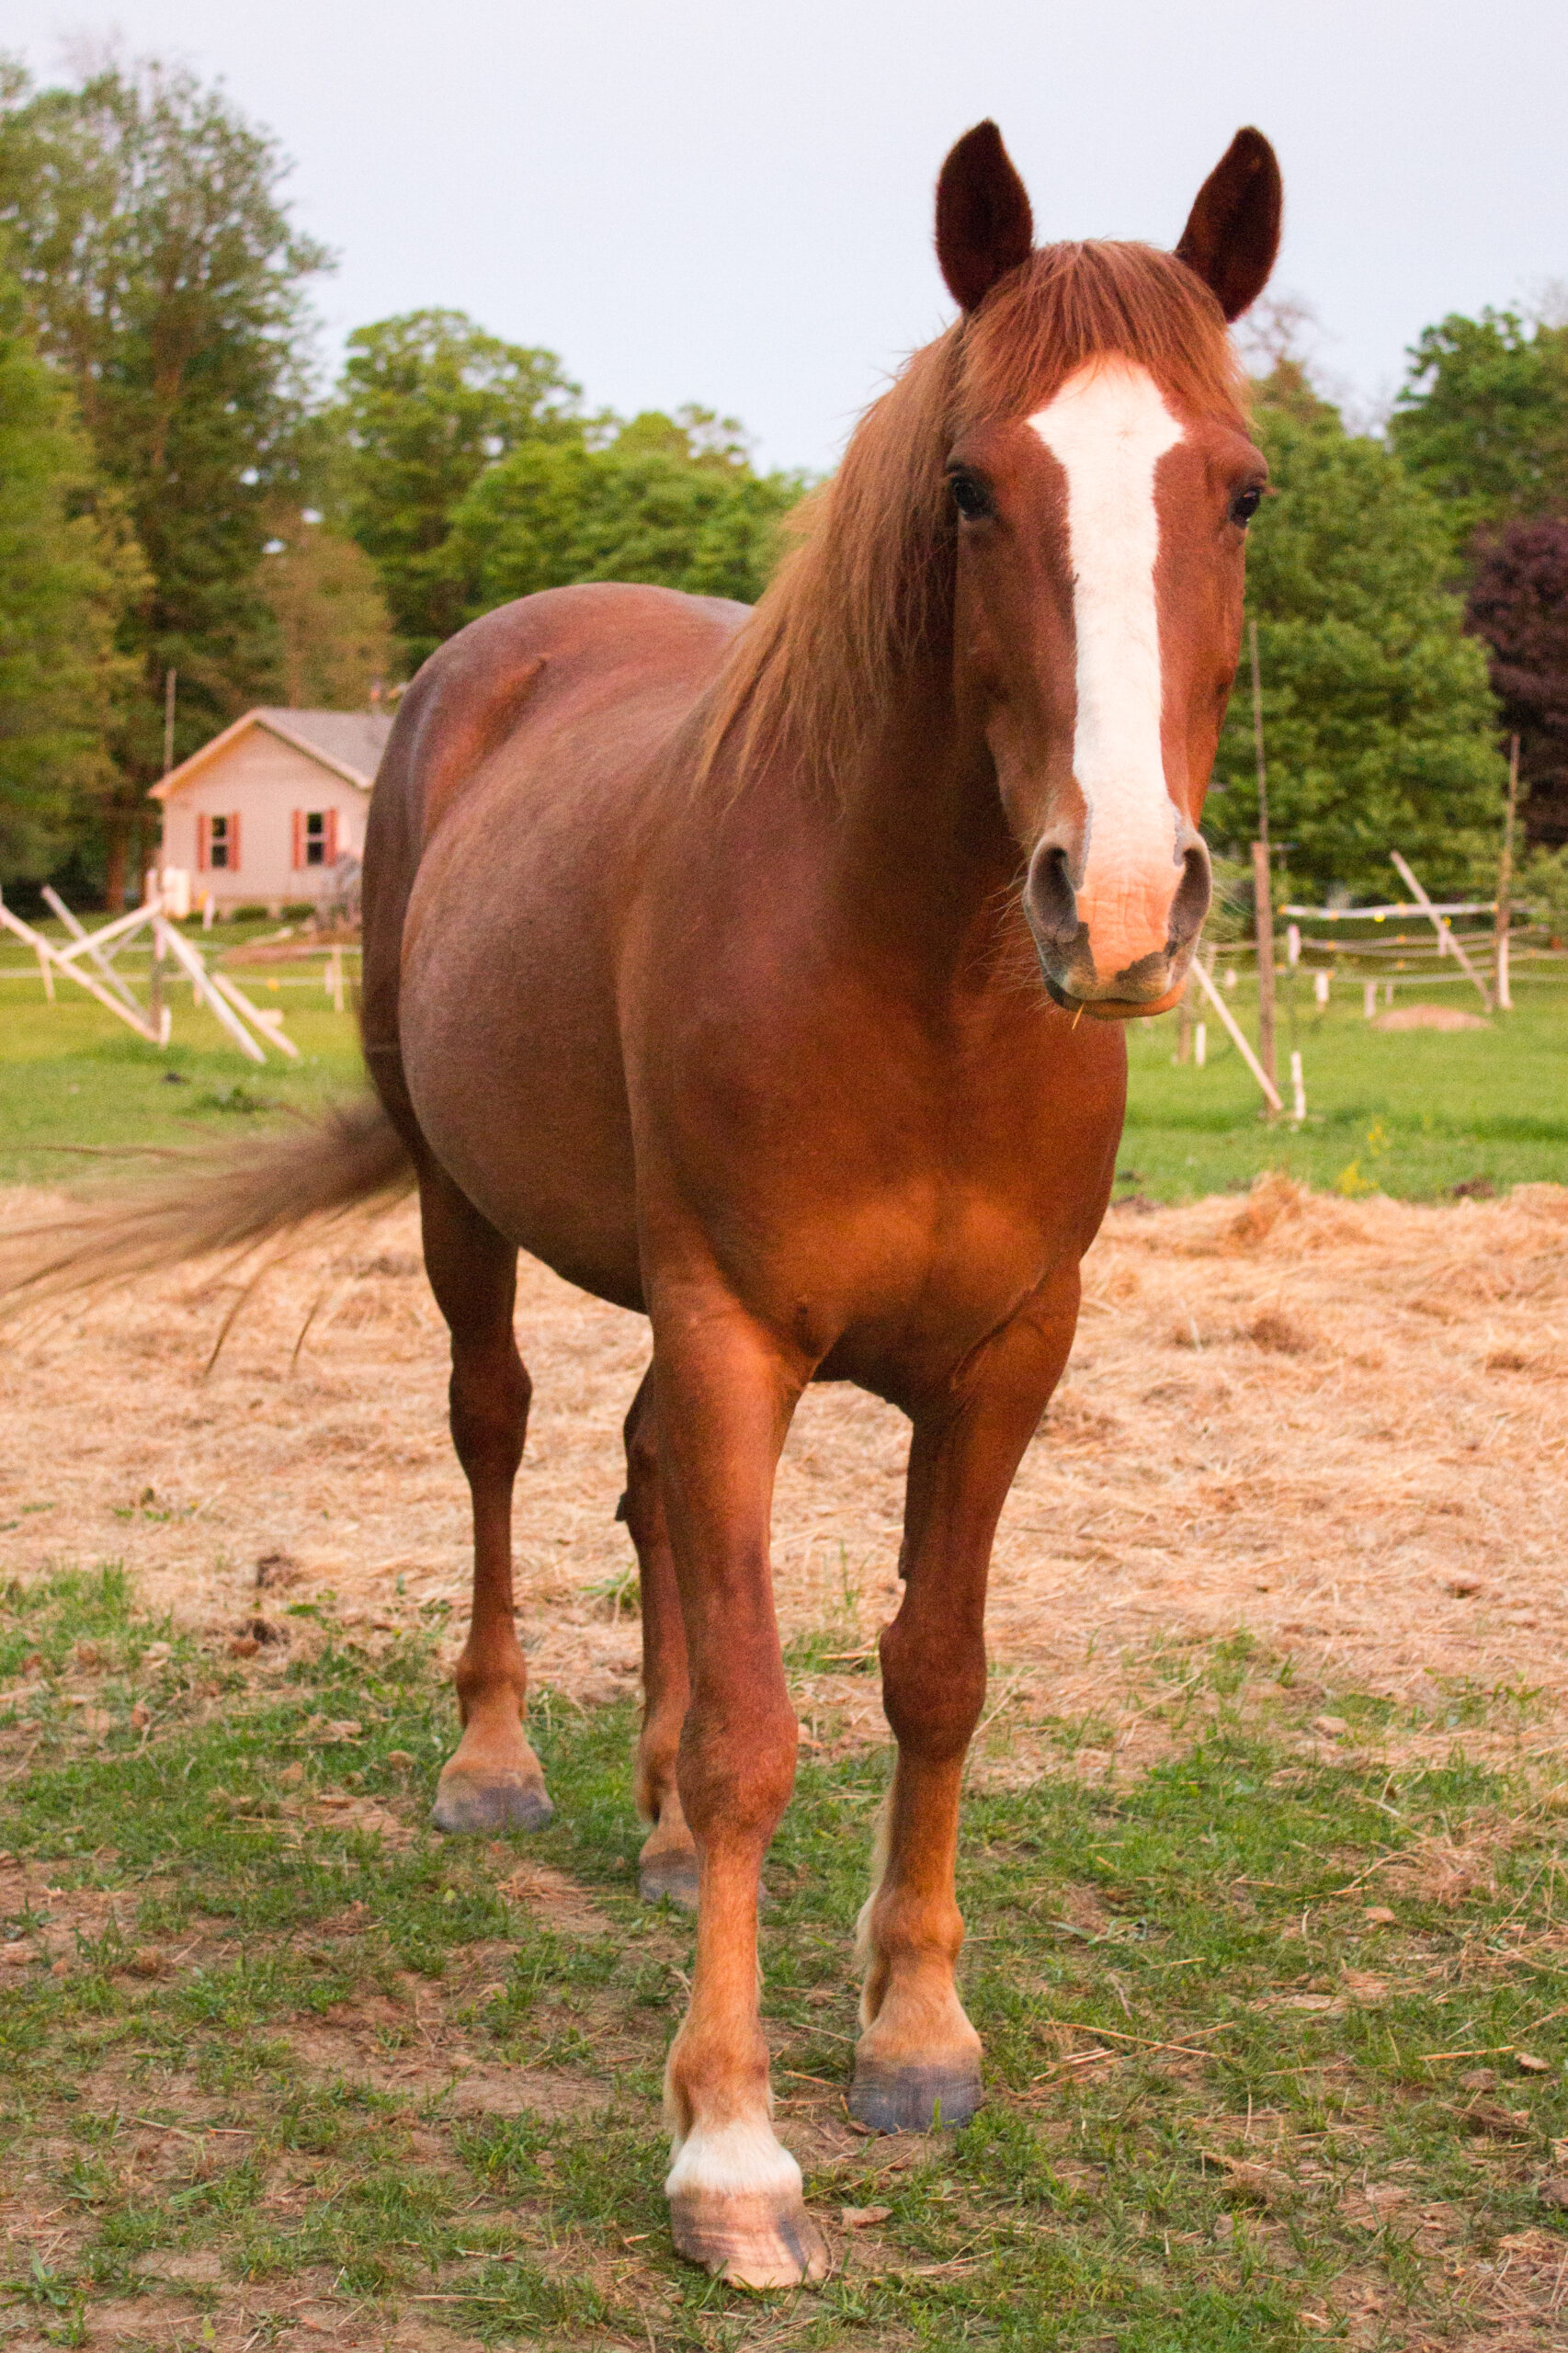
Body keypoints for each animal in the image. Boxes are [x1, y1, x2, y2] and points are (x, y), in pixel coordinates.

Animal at [8, 118, 1280, 2287]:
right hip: (472, 1215)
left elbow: (935, 1676)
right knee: (505, 1437)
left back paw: (663, 1821)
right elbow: (773, 1721)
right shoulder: (734, 1327)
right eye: (971, 487)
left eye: (1242, 487)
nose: (1116, 905)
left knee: (642, 1485)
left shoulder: (1008, 1353)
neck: (920, 983)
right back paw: (501, 1766)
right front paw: (732, 2146)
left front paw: (914, 2031)